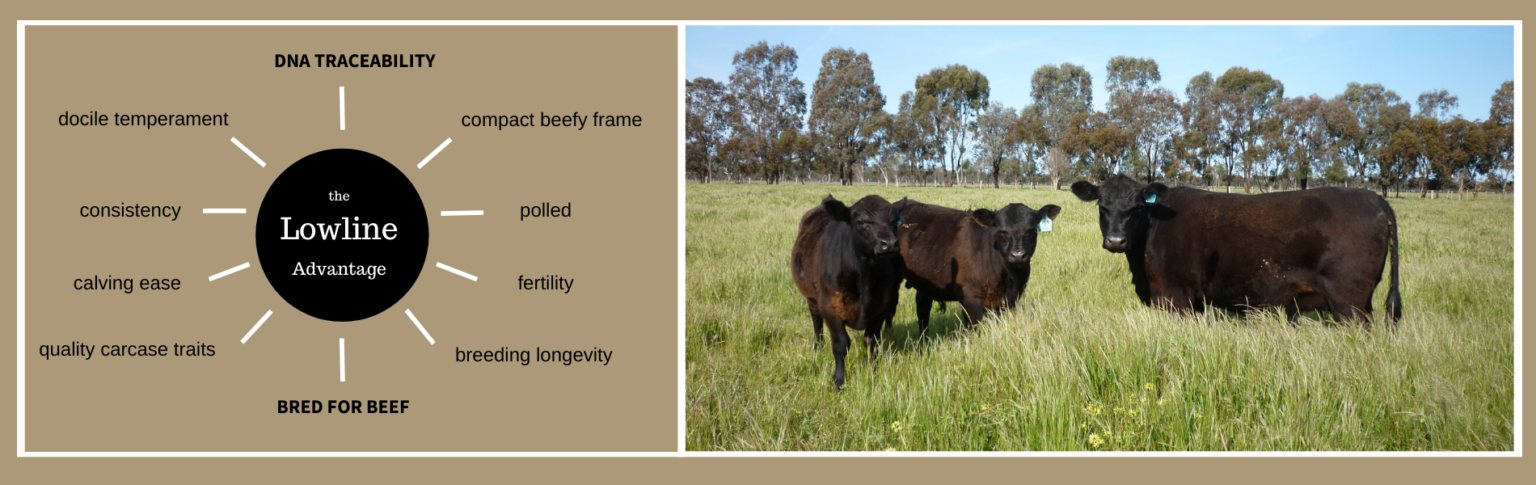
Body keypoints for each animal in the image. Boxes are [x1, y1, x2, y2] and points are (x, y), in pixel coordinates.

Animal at [791, 194, 908, 389]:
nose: (889, 243)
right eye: (860, 222)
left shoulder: (881, 308)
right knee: (817, 323)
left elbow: (871, 341)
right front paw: (839, 379)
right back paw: (818, 347)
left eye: (895, 221)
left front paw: (873, 371)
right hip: (812, 298)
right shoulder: (830, 307)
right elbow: (841, 344)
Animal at [894, 200, 1061, 332]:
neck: (1008, 277)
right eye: (1001, 231)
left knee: (923, 307)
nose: (1018, 255)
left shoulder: (1011, 299)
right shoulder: (971, 298)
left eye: (1032, 230)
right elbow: (974, 329)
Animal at [1070, 174, 1402, 328]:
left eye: (1137, 208)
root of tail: (1373, 197)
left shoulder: (1177, 297)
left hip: (1350, 303)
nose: (1116, 241)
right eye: (1102, 207)